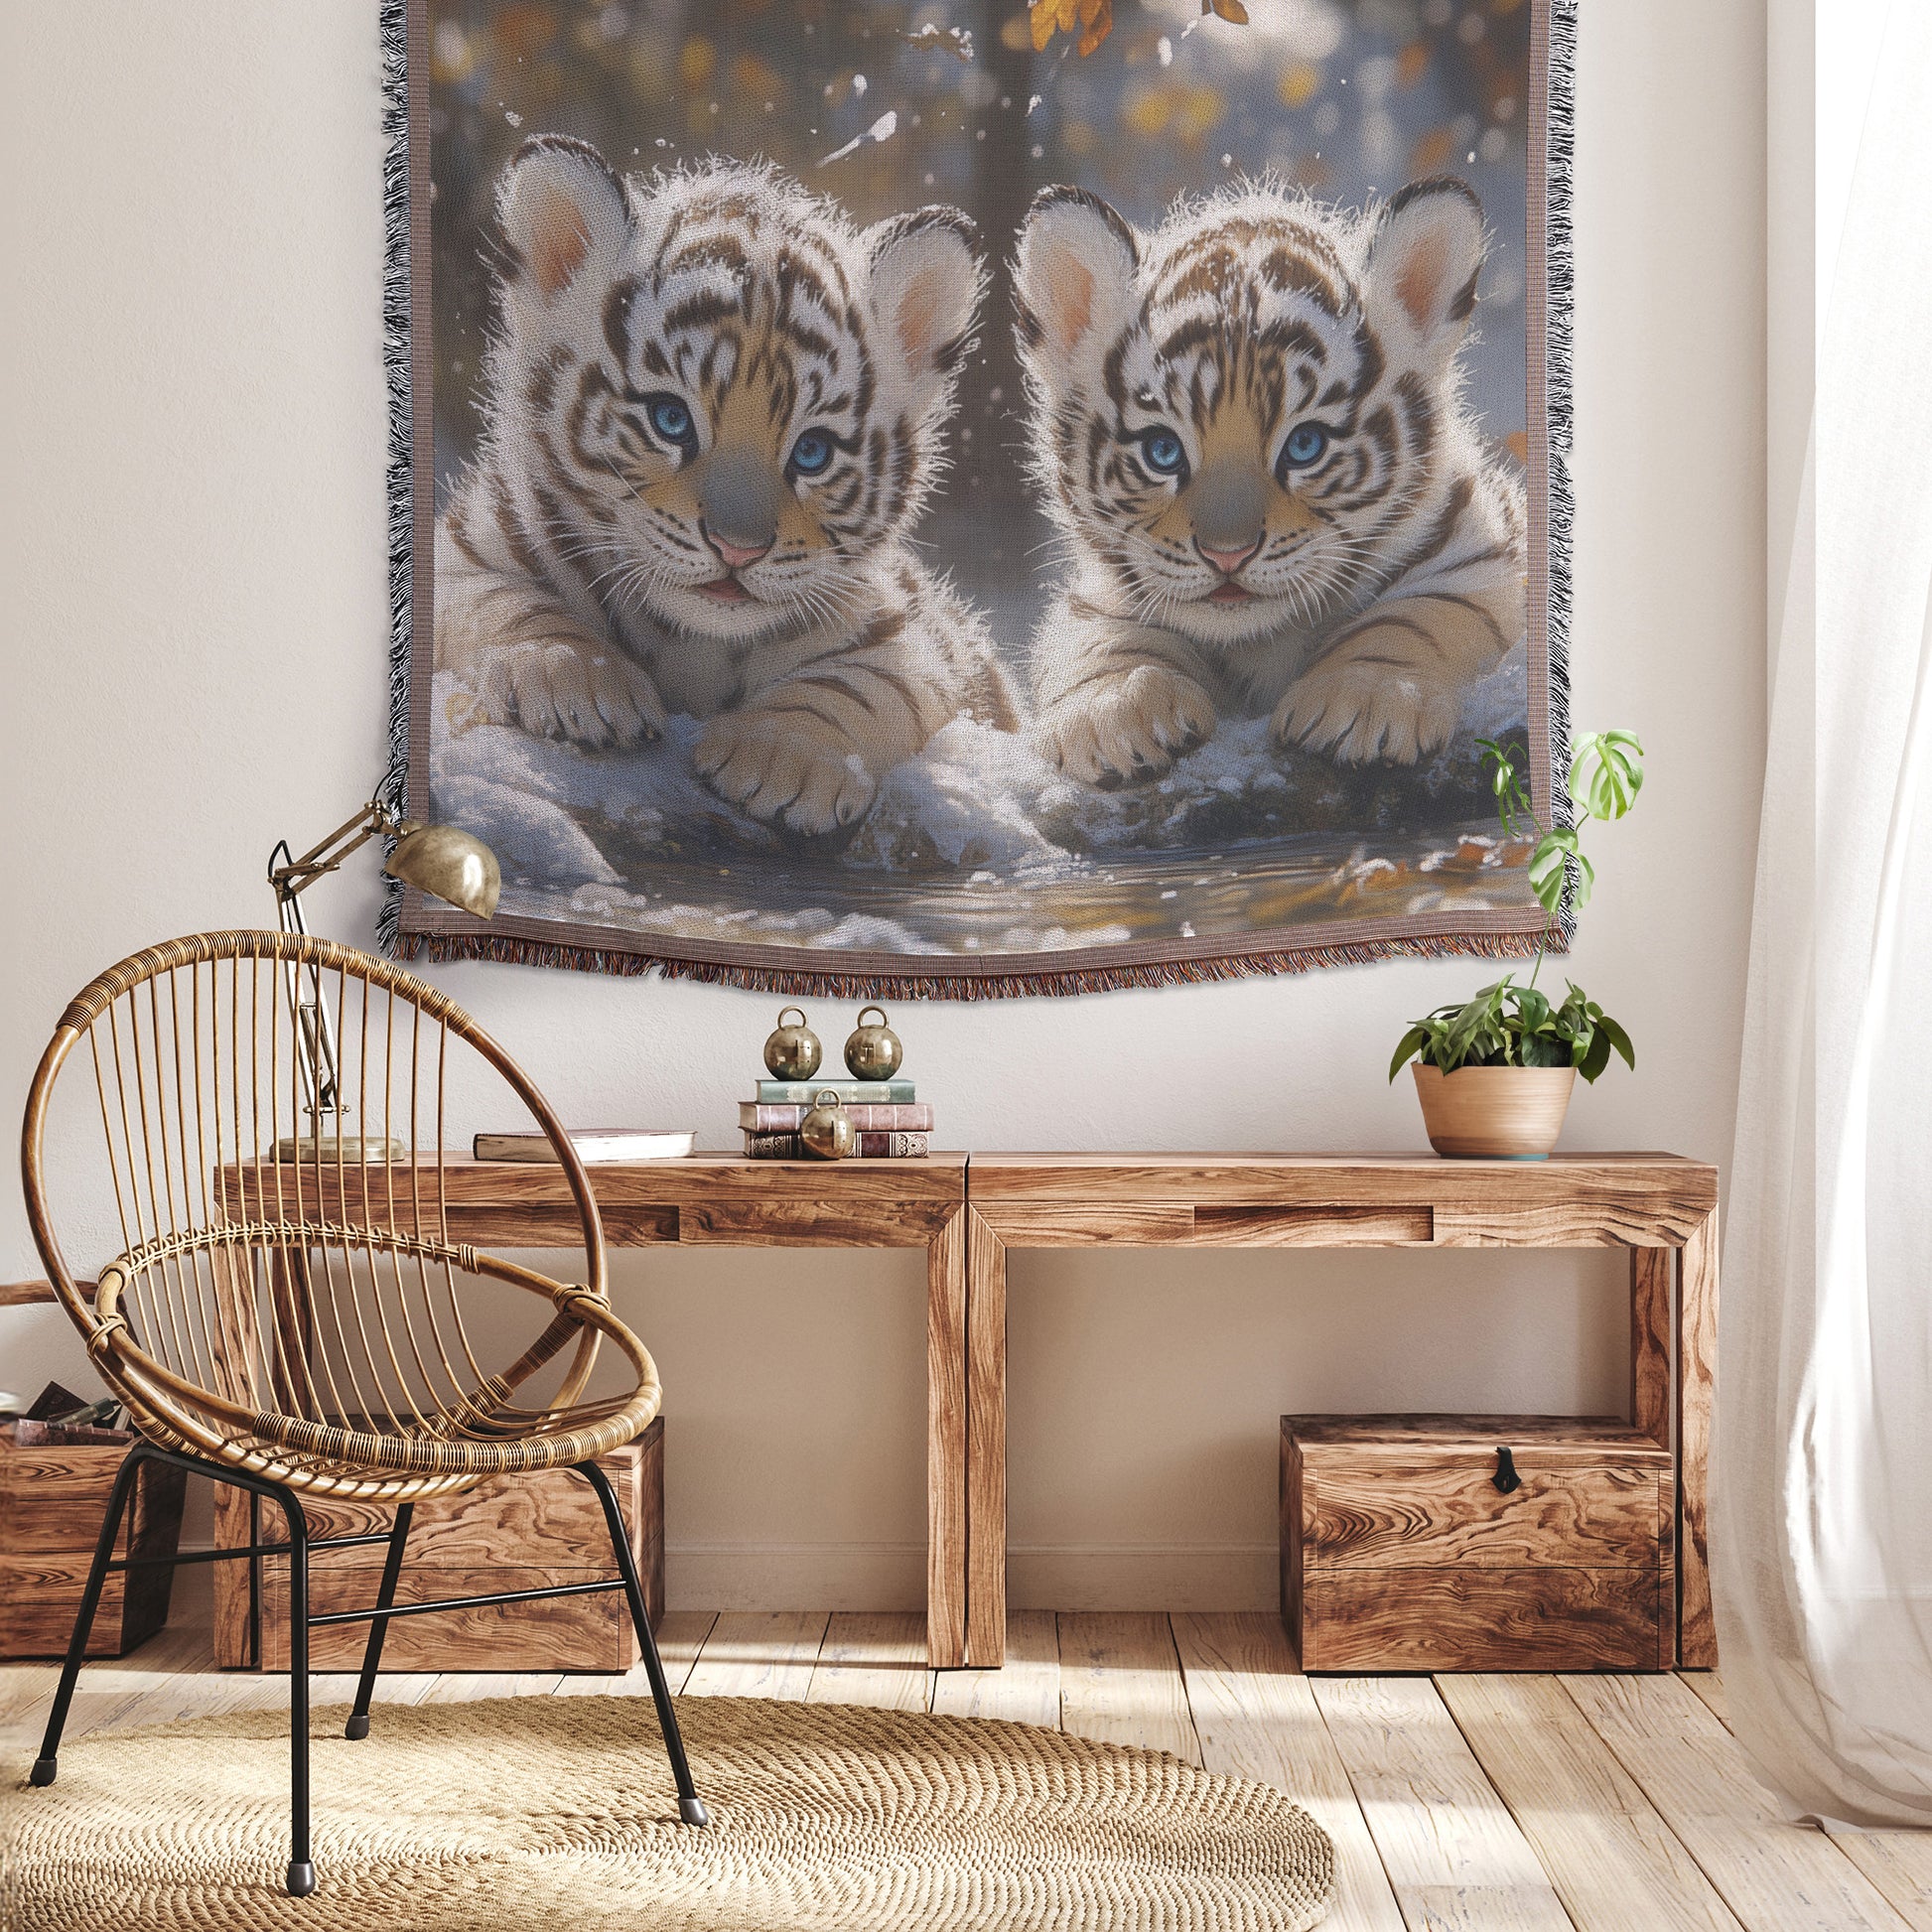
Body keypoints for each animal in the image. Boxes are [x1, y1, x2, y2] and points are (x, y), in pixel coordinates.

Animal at [435, 140, 1016, 835]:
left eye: (812, 452)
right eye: (670, 418)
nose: (739, 549)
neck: (692, 641)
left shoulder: (919, 633)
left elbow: (861, 682)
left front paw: (781, 755)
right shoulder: (462, 549)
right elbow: (506, 601)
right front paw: (571, 675)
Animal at [1011, 176, 1528, 782]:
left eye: (1305, 446)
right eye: (1163, 452)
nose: (1227, 555)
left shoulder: (1480, 549)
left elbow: (1417, 615)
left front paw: (1366, 697)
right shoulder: (1099, 596)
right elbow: (1101, 642)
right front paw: (1116, 710)